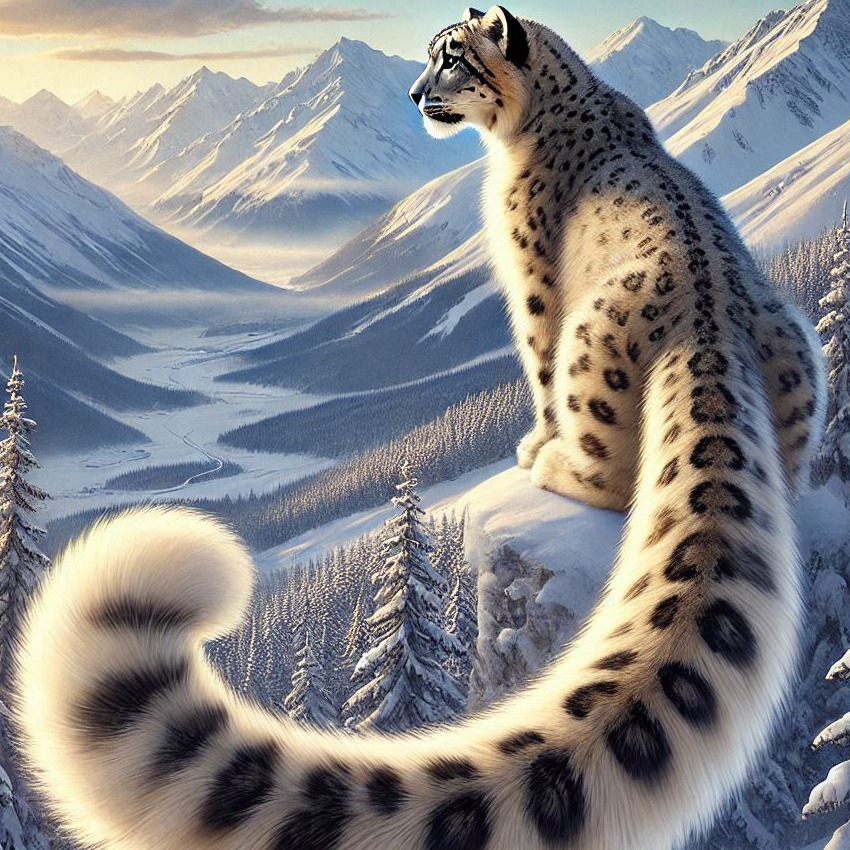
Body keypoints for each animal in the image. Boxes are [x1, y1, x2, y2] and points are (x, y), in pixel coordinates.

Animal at [14, 6, 826, 850]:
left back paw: (551, 461)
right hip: (800, 365)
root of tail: (715, 327)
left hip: (589, 345)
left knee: (605, 467)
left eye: (452, 58)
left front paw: (530, 438)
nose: (411, 93)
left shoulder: (534, 291)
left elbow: (534, 363)